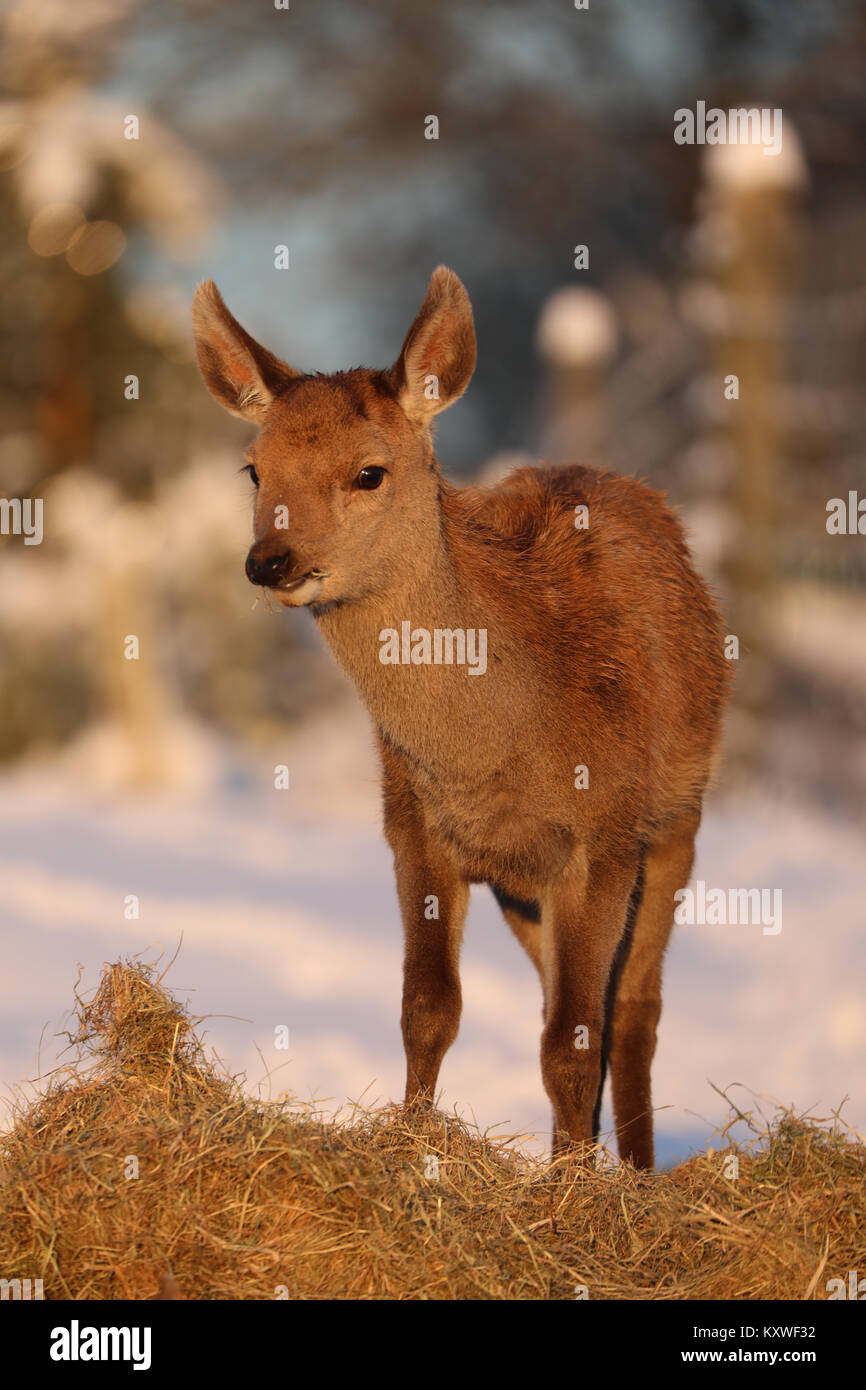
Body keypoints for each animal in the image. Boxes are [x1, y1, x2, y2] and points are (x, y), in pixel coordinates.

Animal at [191, 267, 731, 1168]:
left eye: (369, 472)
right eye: (253, 469)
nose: (269, 561)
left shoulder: (603, 836)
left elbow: (576, 1037)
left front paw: (571, 1193)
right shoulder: (416, 826)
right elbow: (430, 1009)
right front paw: (415, 1150)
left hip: (676, 823)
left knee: (633, 1013)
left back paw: (635, 1175)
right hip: (524, 888)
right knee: (573, 1003)